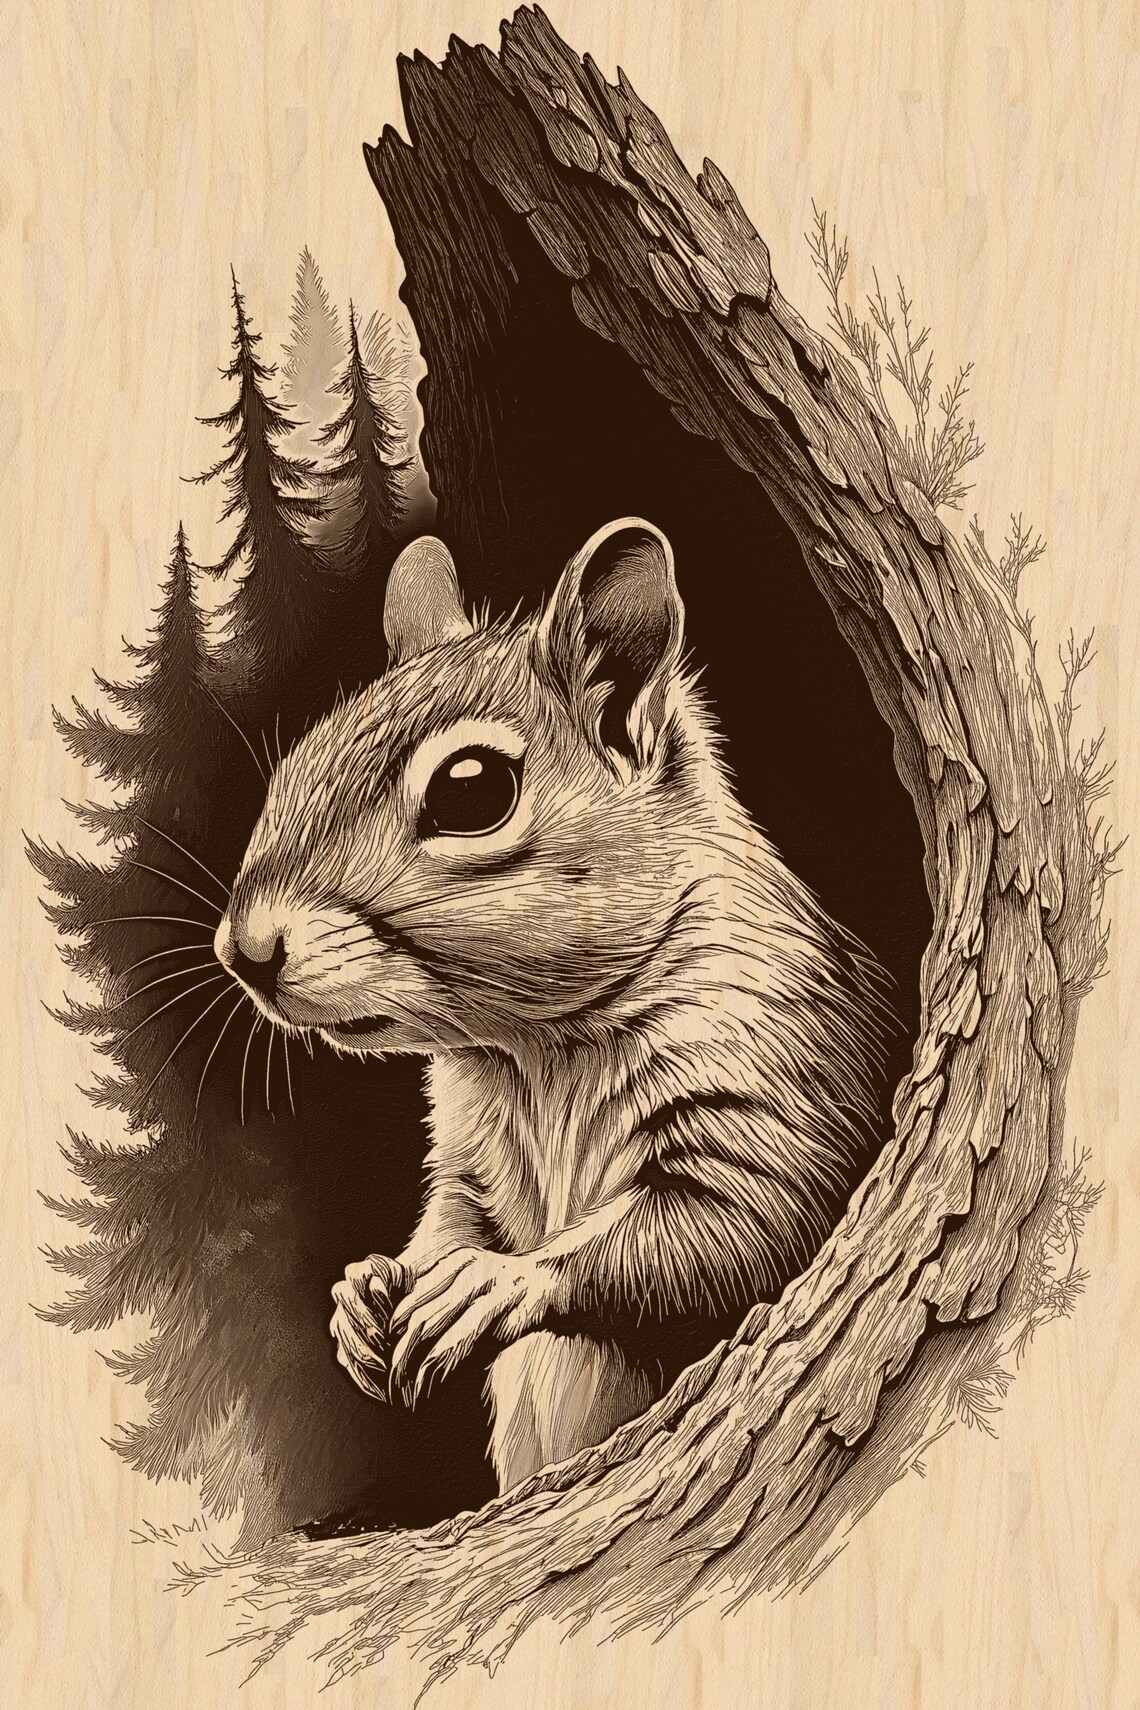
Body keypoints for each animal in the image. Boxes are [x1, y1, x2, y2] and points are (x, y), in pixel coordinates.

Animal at [215, 518, 892, 1493]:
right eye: (296, 764)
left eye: (470, 790)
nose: (245, 950)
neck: (533, 1049)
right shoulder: (470, 1155)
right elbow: (454, 1219)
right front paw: (366, 1293)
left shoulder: (784, 1077)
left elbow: (735, 1226)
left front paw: (494, 1284)